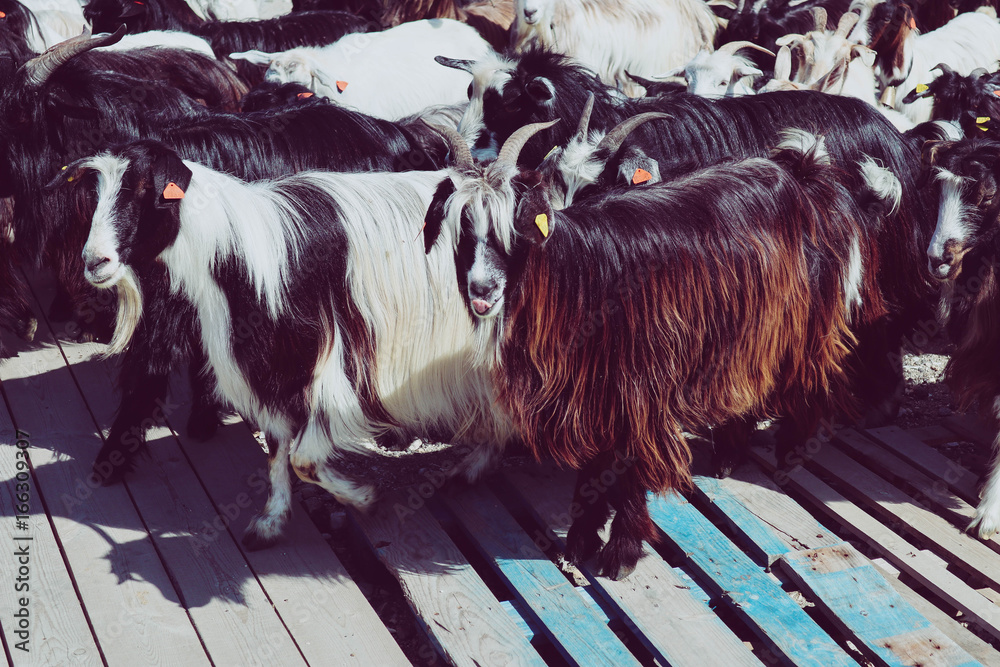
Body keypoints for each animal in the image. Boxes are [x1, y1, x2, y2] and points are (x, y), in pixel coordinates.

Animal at [58, 139, 513, 549]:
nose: (94, 262)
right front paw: (271, 522)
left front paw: (365, 498)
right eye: (96, 195)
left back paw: (470, 464)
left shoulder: (333, 373)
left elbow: (303, 458)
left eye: (143, 190)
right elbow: (278, 449)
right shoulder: (268, 371)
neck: (248, 258)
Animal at [423, 122, 882, 579]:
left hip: (804, 317)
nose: (482, 289)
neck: (579, 271)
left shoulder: (638, 387)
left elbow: (628, 466)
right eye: (462, 228)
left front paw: (621, 553)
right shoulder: (597, 392)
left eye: (512, 228)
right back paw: (729, 454)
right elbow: (596, 466)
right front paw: (582, 541)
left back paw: (789, 451)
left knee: (810, 371)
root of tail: (803, 172)